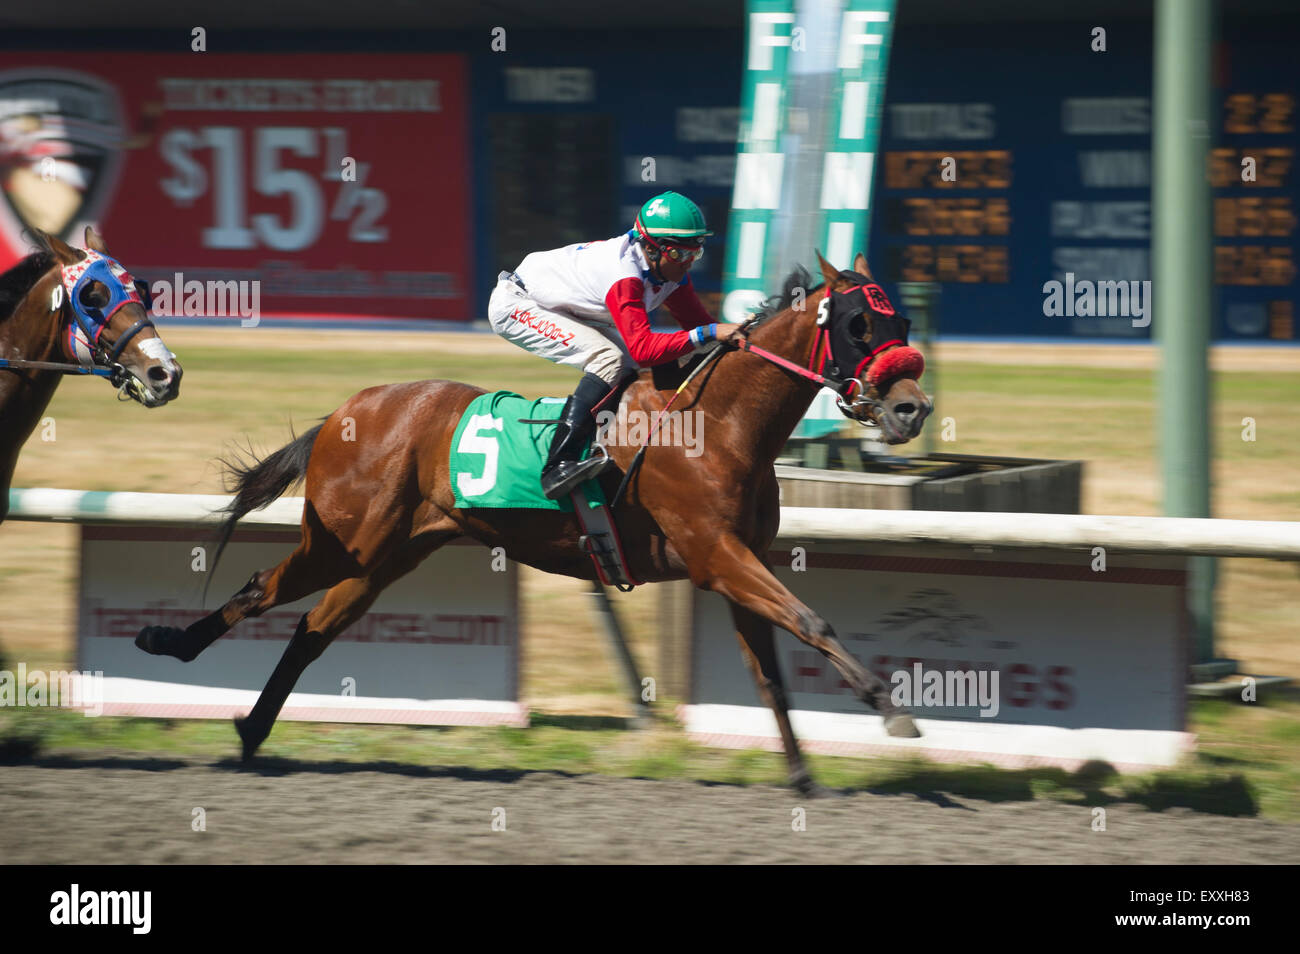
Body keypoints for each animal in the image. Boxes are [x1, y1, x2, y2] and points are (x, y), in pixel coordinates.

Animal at [136, 251, 931, 794]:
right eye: (859, 323)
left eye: (900, 321)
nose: (913, 409)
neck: (718, 422)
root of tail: (346, 410)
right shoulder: (716, 555)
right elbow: (811, 621)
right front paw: (888, 706)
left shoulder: (738, 564)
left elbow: (772, 669)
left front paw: (802, 773)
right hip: (345, 543)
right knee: (260, 590)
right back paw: (170, 646)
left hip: (385, 557)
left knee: (309, 630)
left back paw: (250, 730)